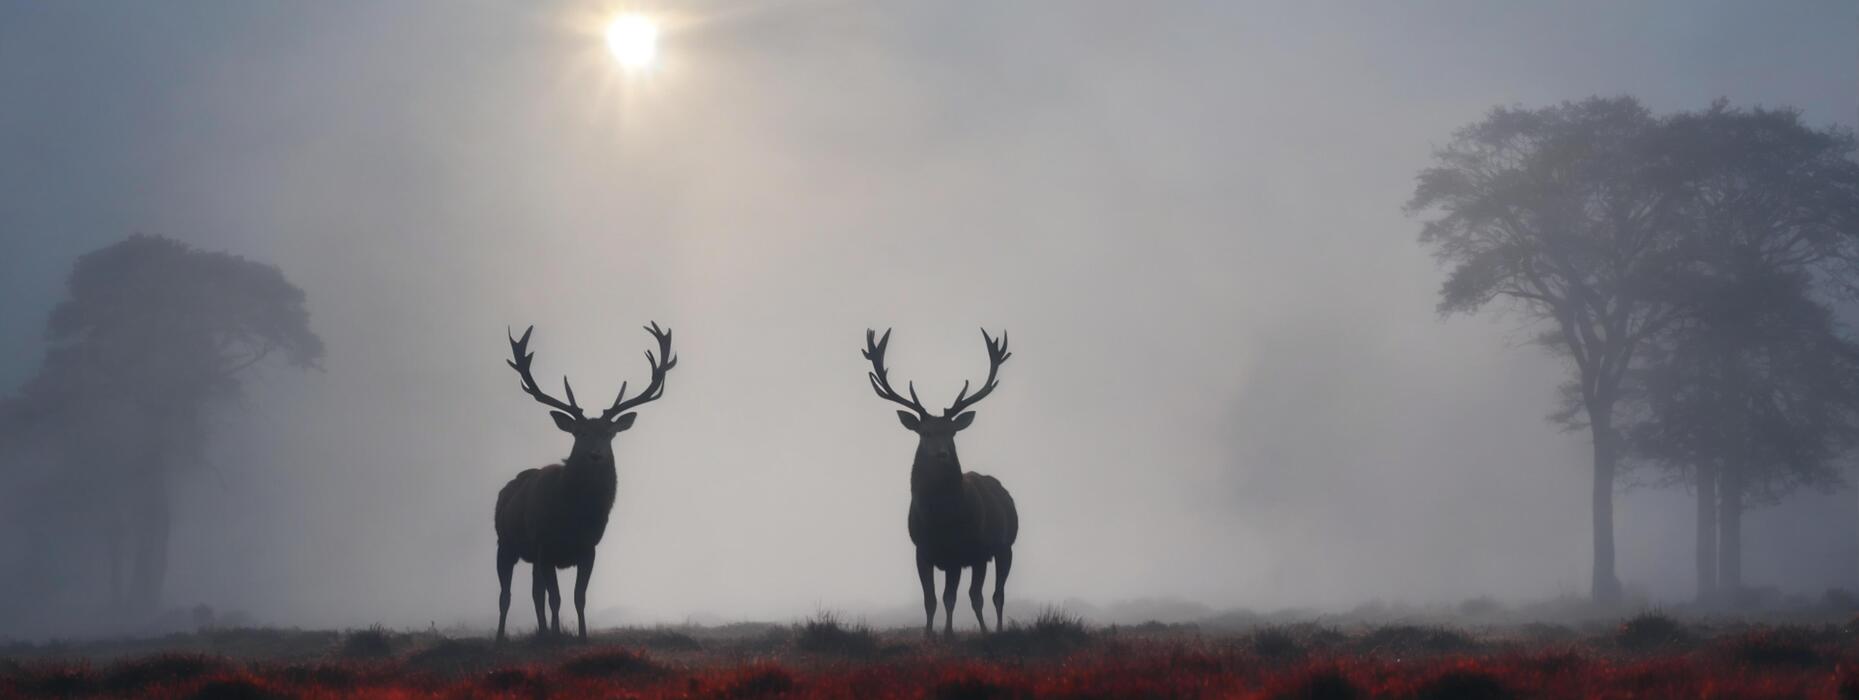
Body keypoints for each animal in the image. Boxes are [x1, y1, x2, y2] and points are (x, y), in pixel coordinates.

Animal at [493, 323, 676, 642]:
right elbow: (555, 598)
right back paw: (504, 635)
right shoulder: (546, 545)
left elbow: (579, 597)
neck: (575, 517)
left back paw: (542, 631)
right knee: (508, 594)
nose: (596, 455)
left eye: (610, 433)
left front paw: (580, 635)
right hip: (505, 542)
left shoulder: (589, 548)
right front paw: (556, 636)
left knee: (535, 593)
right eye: (579, 433)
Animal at [862, 328, 1019, 638]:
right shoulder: (923, 551)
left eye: (952, 432)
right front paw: (929, 635)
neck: (940, 521)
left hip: (1004, 546)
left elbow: (957, 598)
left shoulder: (967, 551)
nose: (943, 454)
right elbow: (931, 600)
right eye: (924, 432)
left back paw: (994, 631)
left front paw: (952, 634)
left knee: (995, 595)